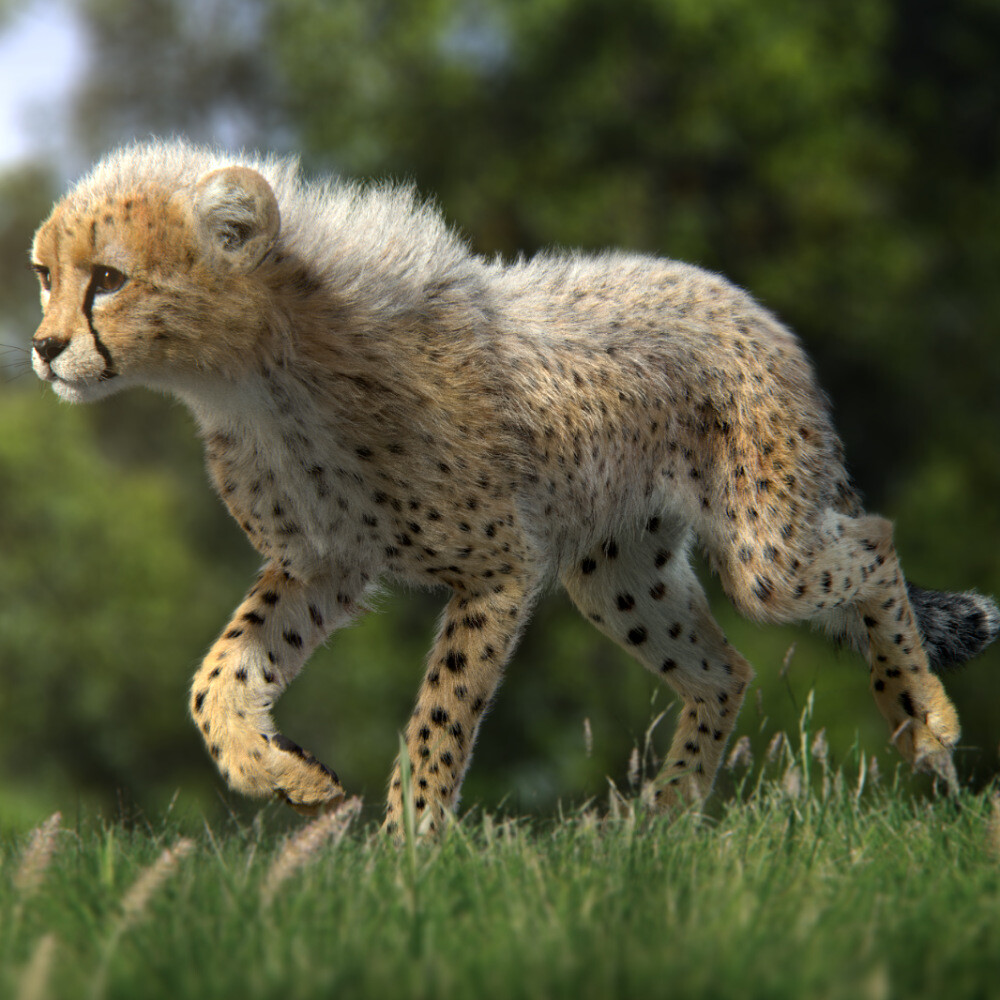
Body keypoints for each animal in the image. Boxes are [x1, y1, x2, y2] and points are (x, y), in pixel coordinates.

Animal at [29, 139, 998, 836]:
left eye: (108, 278)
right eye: (46, 275)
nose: (41, 348)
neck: (253, 370)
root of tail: (736, 295)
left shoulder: (498, 564)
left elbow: (438, 717)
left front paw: (409, 855)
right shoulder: (325, 562)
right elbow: (218, 674)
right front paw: (277, 772)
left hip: (765, 552)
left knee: (870, 543)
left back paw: (923, 720)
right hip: (616, 573)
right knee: (724, 670)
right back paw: (660, 827)